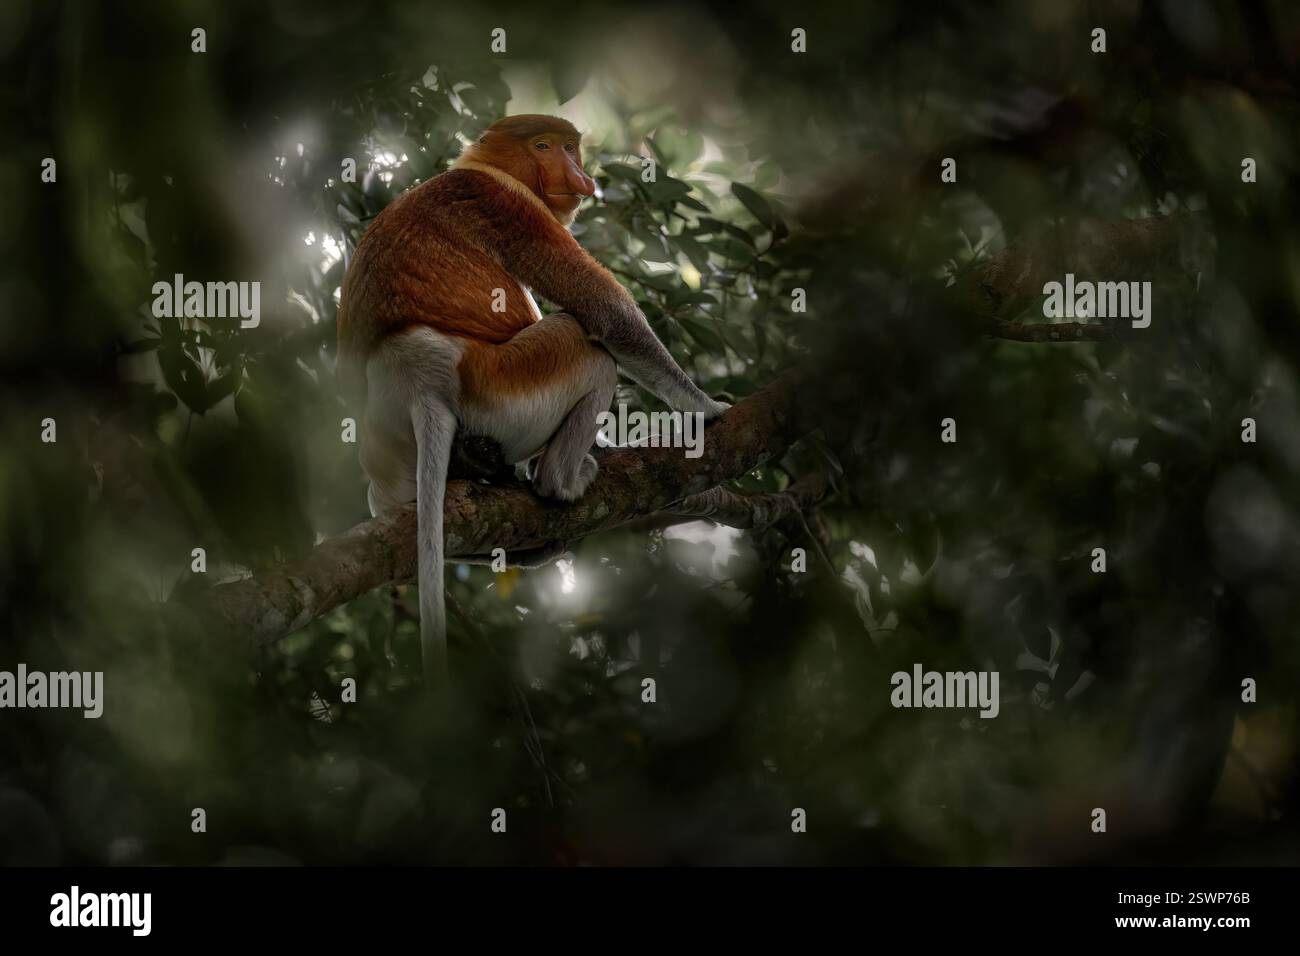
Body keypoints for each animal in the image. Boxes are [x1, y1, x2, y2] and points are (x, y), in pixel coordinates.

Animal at [337, 115, 727, 691]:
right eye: (544, 146)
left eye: (570, 148)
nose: (580, 177)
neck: (478, 164)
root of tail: (419, 380)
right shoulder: (510, 204)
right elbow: (604, 310)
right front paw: (709, 408)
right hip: (505, 385)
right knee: (587, 350)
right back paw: (562, 480)